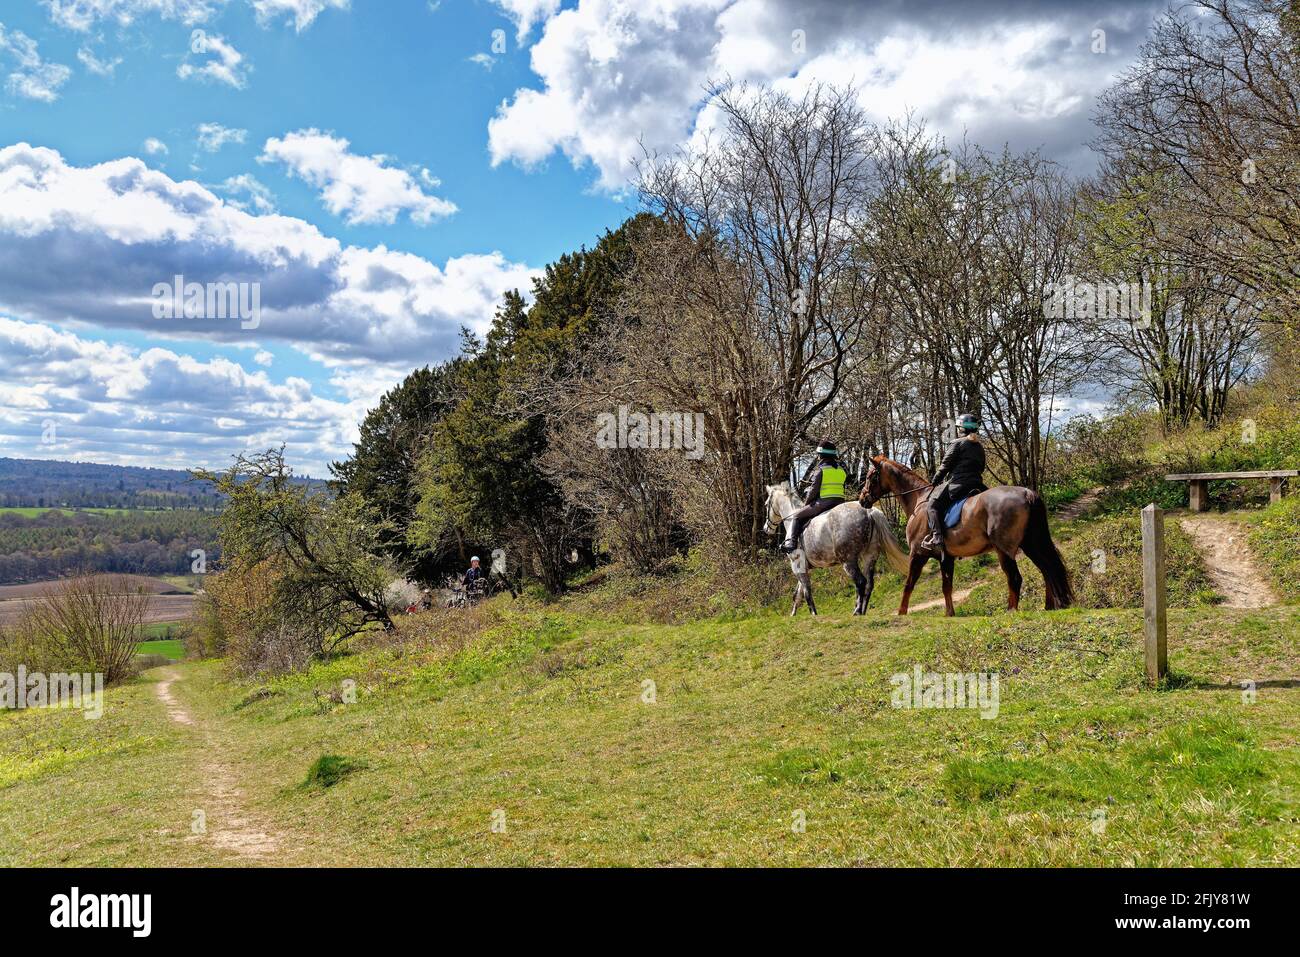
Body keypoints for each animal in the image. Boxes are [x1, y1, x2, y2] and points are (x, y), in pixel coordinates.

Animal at [763, 482, 910, 616]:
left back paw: (857, 611)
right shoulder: (802, 567)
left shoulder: (796, 564)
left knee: (860, 582)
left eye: (766, 505)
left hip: (848, 560)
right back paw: (862, 611)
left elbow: (806, 593)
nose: (766, 529)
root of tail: (869, 511)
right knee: (869, 583)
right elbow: (798, 594)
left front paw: (813, 615)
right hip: (870, 556)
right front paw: (793, 615)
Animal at [857, 455, 1073, 616]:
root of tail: (1027, 493)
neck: (919, 499)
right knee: (1047, 569)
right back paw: (1049, 606)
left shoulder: (918, 554)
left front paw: (902, 613)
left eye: (870, 476)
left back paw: (1011, 610)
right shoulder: (946, 557)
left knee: (1015, 578)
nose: (862, 500)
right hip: (1031, 544)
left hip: (1004, 550)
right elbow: (946, 586)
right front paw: (949, 614)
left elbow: (909, 584)